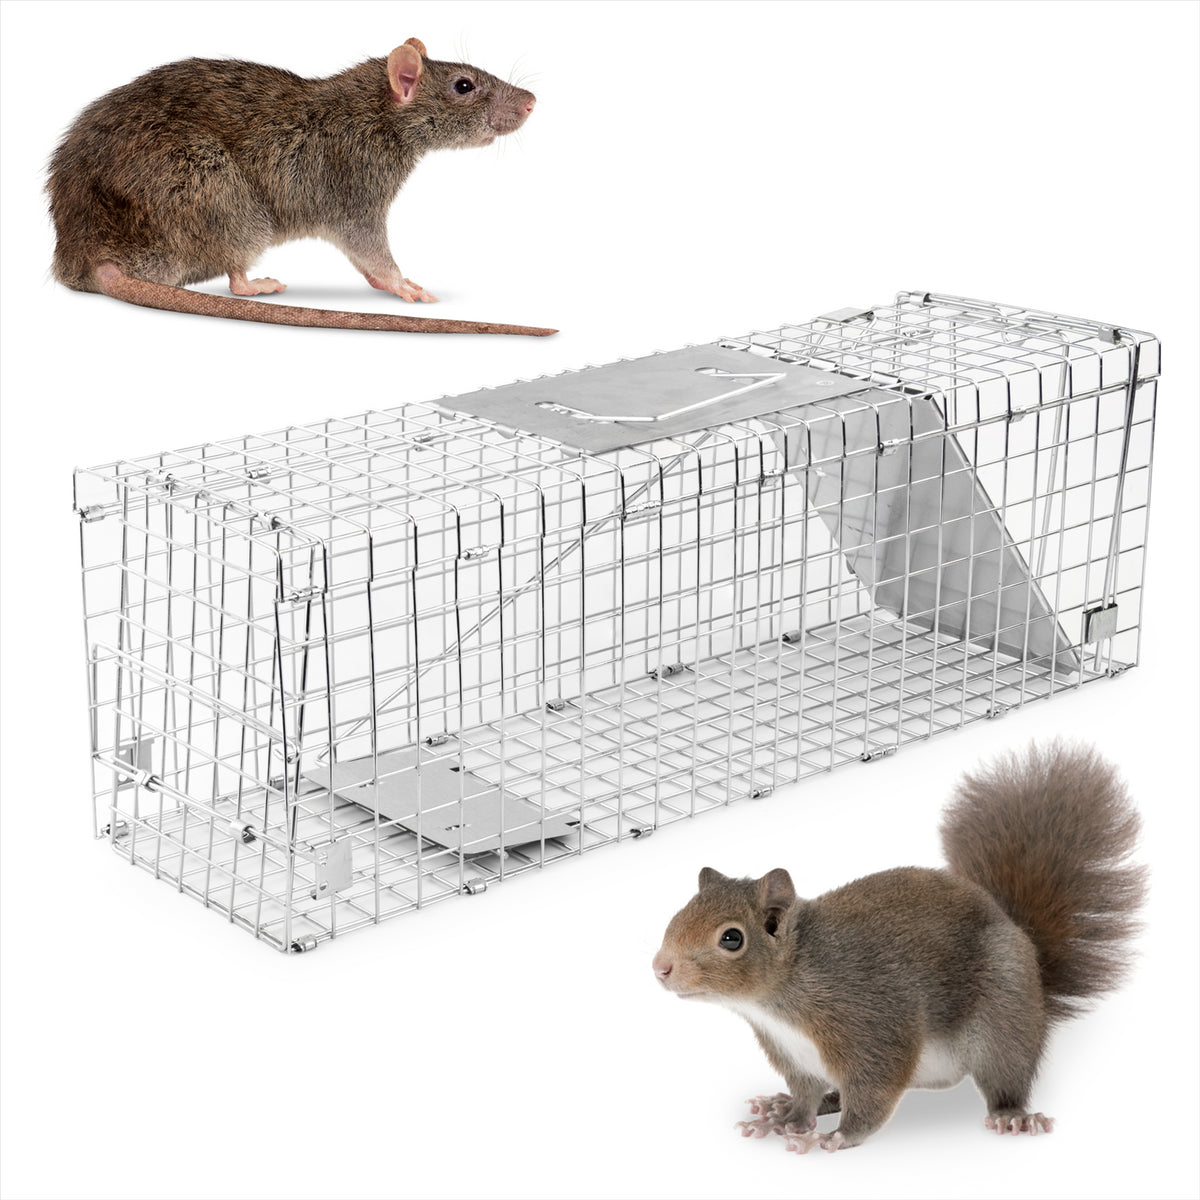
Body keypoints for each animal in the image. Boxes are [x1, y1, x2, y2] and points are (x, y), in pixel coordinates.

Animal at [652, 741, 1146, 1153]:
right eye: (681, 911)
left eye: (731, 938)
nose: (660, 968)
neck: (781, 994)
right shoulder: (794, 1055)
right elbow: (806, 1094)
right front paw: (786, 1118)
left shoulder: (869, 1022)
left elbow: (875, 1090)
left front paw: (836, 1138)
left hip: (1003, 1021)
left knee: (1004, 1076)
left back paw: (1012, 1115)